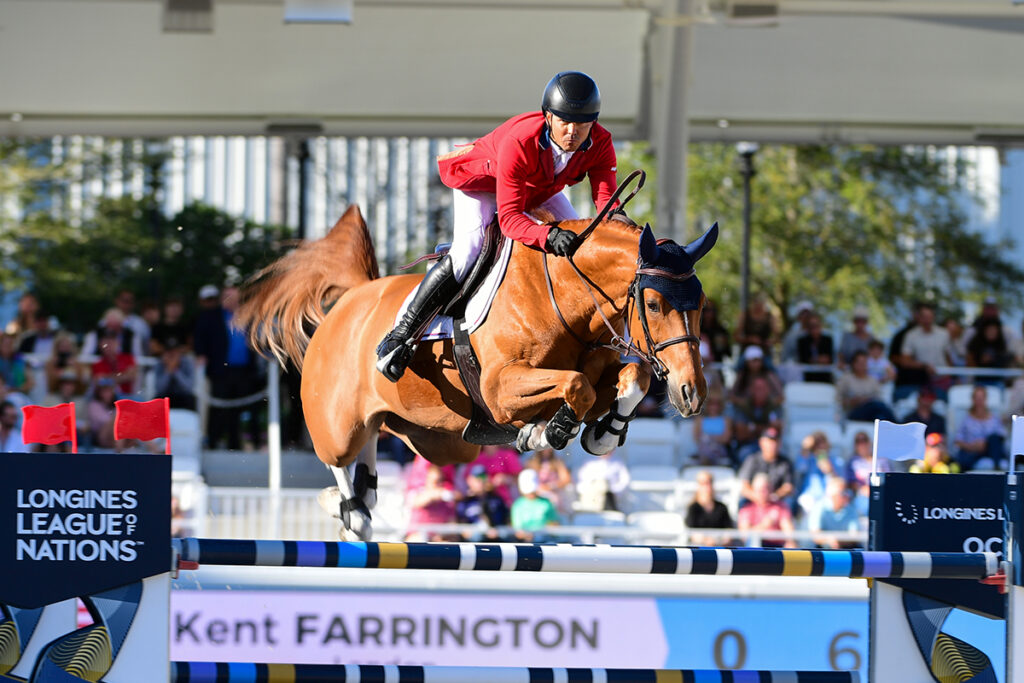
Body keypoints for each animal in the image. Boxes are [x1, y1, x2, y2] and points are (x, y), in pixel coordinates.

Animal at [237, 204, 719, 540]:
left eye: (701, 303)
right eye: (653, 304)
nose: (691, 393)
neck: (563, 298)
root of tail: (353, 297)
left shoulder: (598, 369)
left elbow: (630, 379)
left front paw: (602, 433)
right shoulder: (500, 390)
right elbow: (576, 386)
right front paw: (545, 432)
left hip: (439, 441)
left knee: (376, 437)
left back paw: (360, 497)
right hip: (339, 421)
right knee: (339, 455)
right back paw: (352, 512)